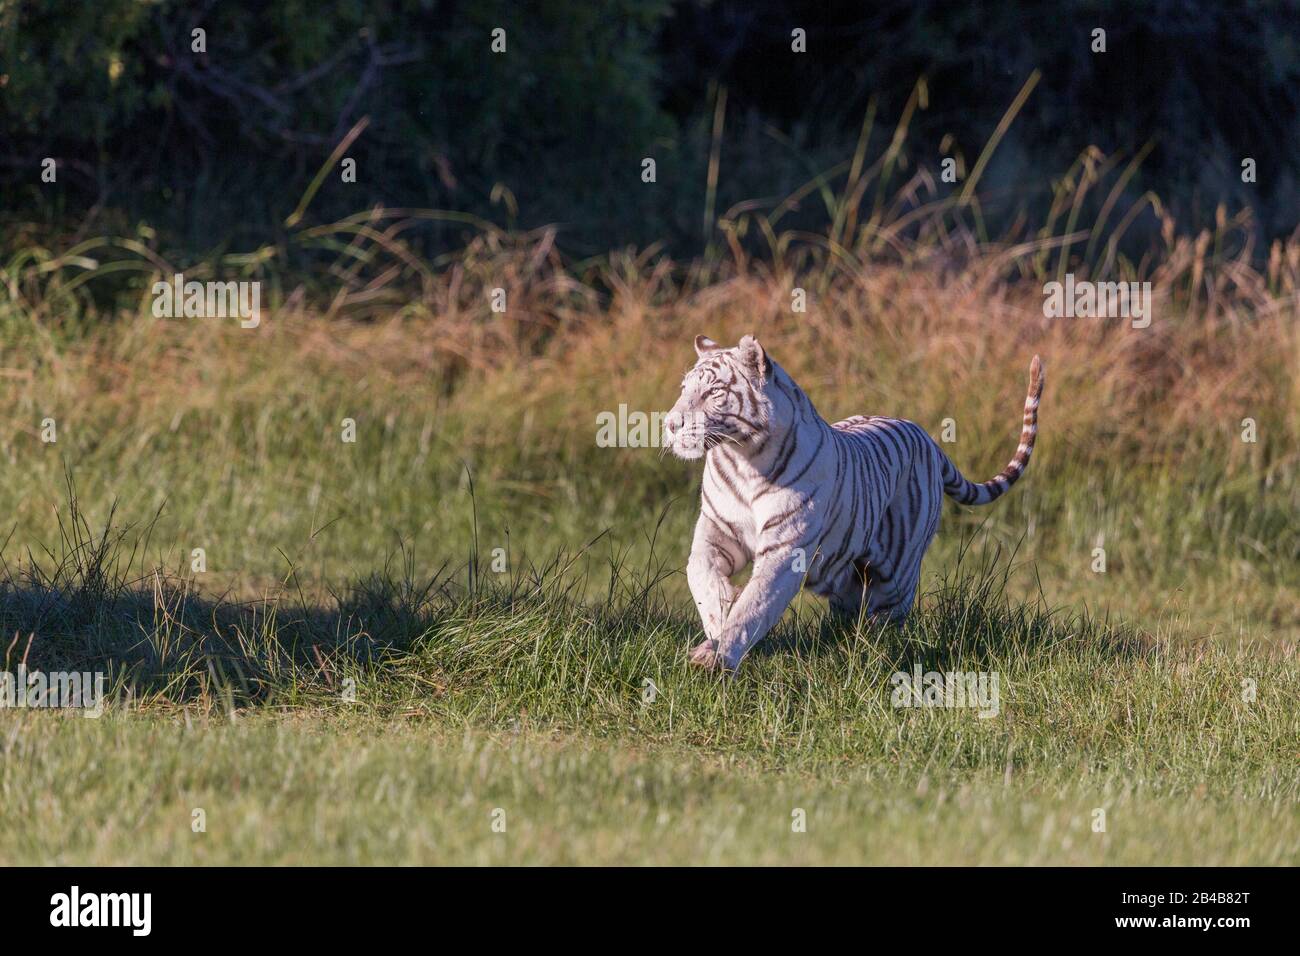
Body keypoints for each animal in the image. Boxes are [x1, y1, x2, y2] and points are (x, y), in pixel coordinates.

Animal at [663, 334, 1043, 672]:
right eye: (683, 389)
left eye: (713, 392)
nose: (670, 423)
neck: (744, 458)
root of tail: (929, 440)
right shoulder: (716, 530)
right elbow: (700, 574)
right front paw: (718, 616)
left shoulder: (784, 552)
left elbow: (753, 607)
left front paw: (719, 656)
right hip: (846, 576)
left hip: (897, 575)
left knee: (888, 618)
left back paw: (876, 650)